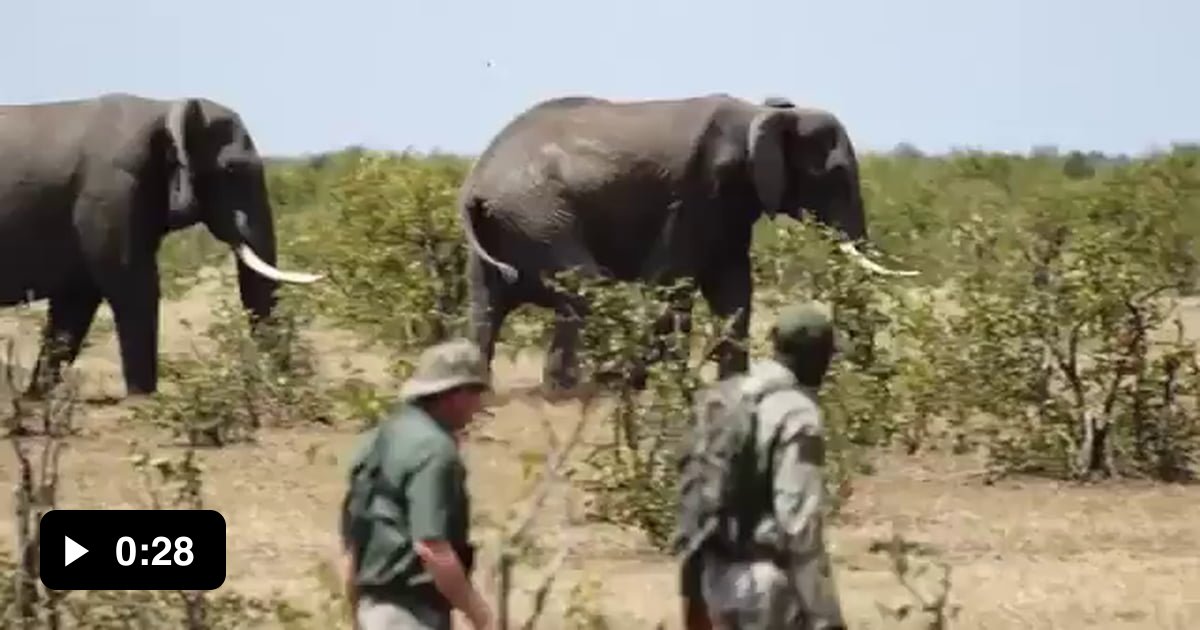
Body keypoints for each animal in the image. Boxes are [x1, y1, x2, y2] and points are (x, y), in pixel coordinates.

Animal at [0, 92, 323, 399]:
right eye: (231, 170)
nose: (277, 385)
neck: (164, 108)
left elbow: (76, 302)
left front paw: (36, 398)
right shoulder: (113, 193)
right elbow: (133, 287)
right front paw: (144, 400)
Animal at [457, 92, 916, 393]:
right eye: (835, 177)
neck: (763, 113)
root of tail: (474, 184)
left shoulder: (732, 202)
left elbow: (733, 289)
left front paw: (732, 384)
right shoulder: (698, 189)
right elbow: (674, 282)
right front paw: (662, 383)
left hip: (512, 224)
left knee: (487, 307)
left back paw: (486, 391)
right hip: (538, 213)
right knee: (585, 291)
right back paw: (574, 390)